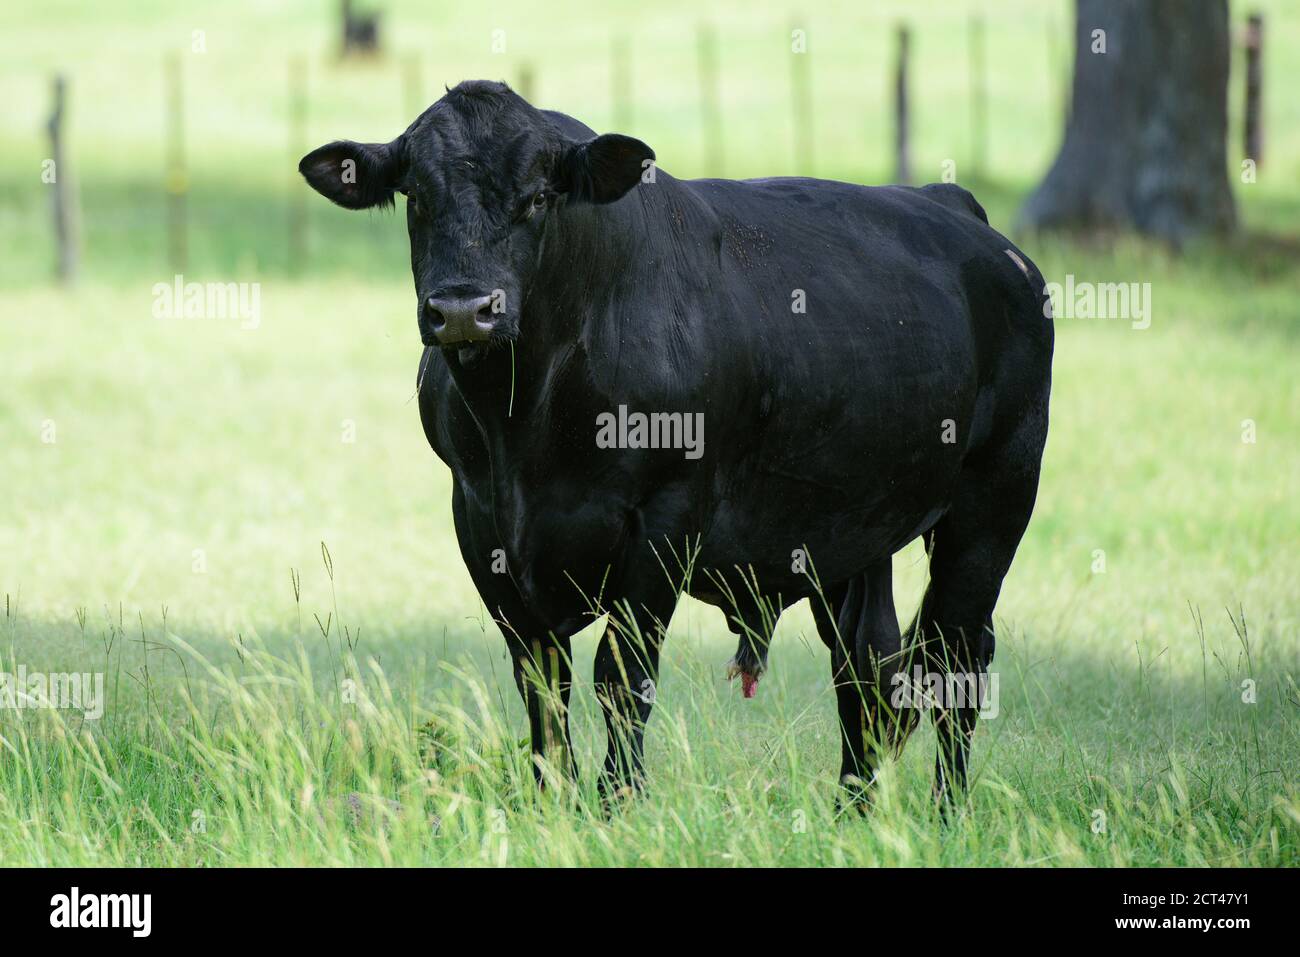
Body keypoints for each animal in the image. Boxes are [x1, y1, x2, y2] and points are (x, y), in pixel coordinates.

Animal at [299, 80, 1053, 809]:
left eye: (539, 196)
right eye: (416, 196)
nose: (463, 310)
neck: (526, 421)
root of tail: (953, 207)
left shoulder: (664, 520)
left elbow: (621, 675)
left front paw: (617, 805)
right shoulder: (480, 520)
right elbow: (541, 680)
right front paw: (551, 804)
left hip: (994, 502)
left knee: (953, 660)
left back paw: (946, 813)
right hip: (851, 529)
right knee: (868, 668)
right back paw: (854, 814)